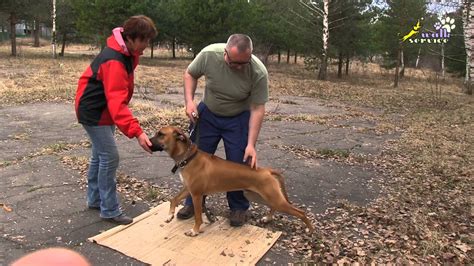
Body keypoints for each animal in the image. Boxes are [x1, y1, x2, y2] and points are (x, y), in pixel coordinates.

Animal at [150, 126, 314, 237]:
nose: (148, 143)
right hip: (258, 196)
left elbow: (198, 217)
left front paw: (195, 231)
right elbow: (173, 199)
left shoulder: (196, 195)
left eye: (161, 134)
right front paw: (170, 215)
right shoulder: (188, 189)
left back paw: (310, 230)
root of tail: (266, 170)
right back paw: (267, 218)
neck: (189, 157)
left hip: (273, 198)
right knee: (273, 207)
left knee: (301, 212)